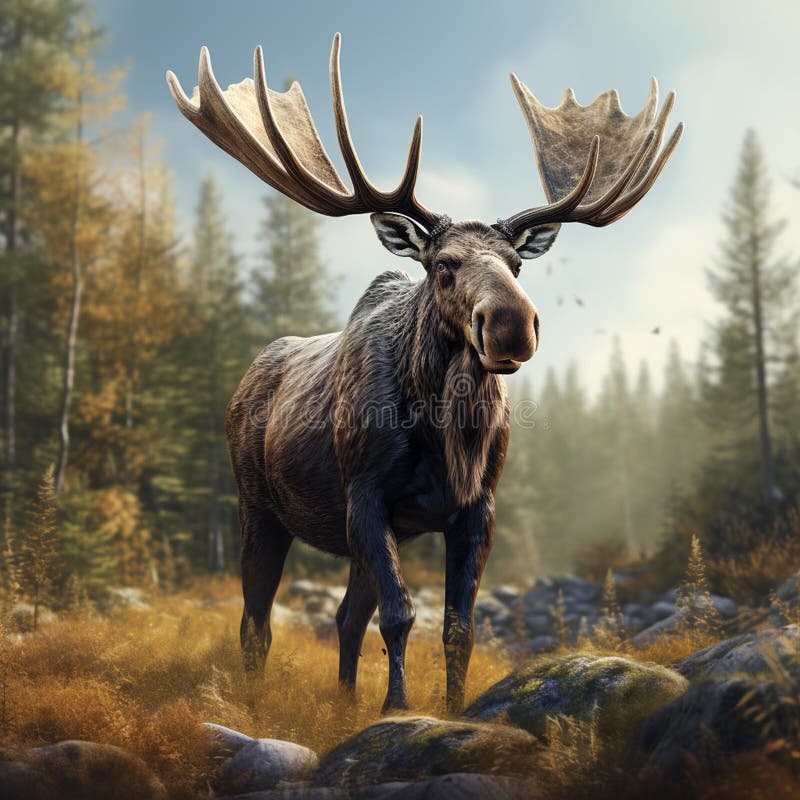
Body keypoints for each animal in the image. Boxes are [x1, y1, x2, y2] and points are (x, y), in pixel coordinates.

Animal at [166, 34, 683, 714]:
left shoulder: (477, 507)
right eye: (443, 264)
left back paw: (344, 700)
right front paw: (397, 708)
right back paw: (255, 703)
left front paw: (450, 710)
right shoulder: (366, 493)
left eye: (518, 262)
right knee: (257, 619)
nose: (511, 323)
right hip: (257, 503)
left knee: (343, 617)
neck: (449, 438)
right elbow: (400, 615)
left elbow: (457, 626)